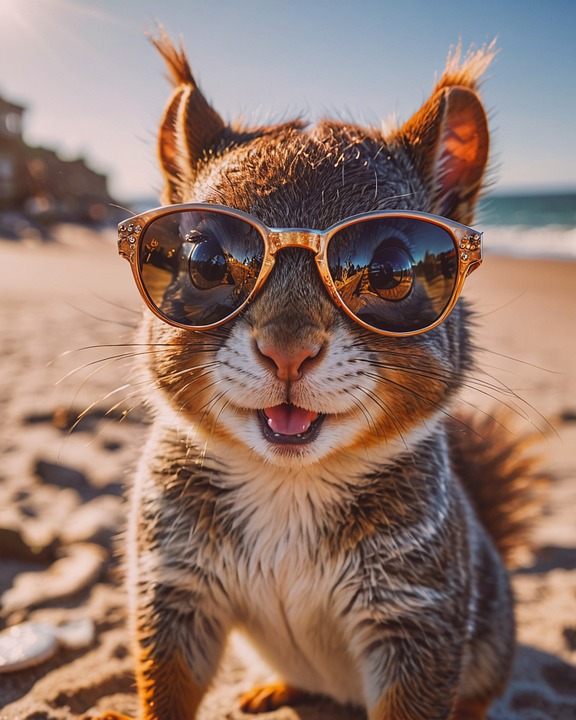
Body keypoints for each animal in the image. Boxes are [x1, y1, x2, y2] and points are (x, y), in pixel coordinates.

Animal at [93, 34, 544, 720]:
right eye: (204, 260)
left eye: (391, 270)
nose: (287, 350)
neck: (287, 485)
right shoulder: (171, 580)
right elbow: (166, 679)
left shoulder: (421, 612)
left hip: (488, 636)